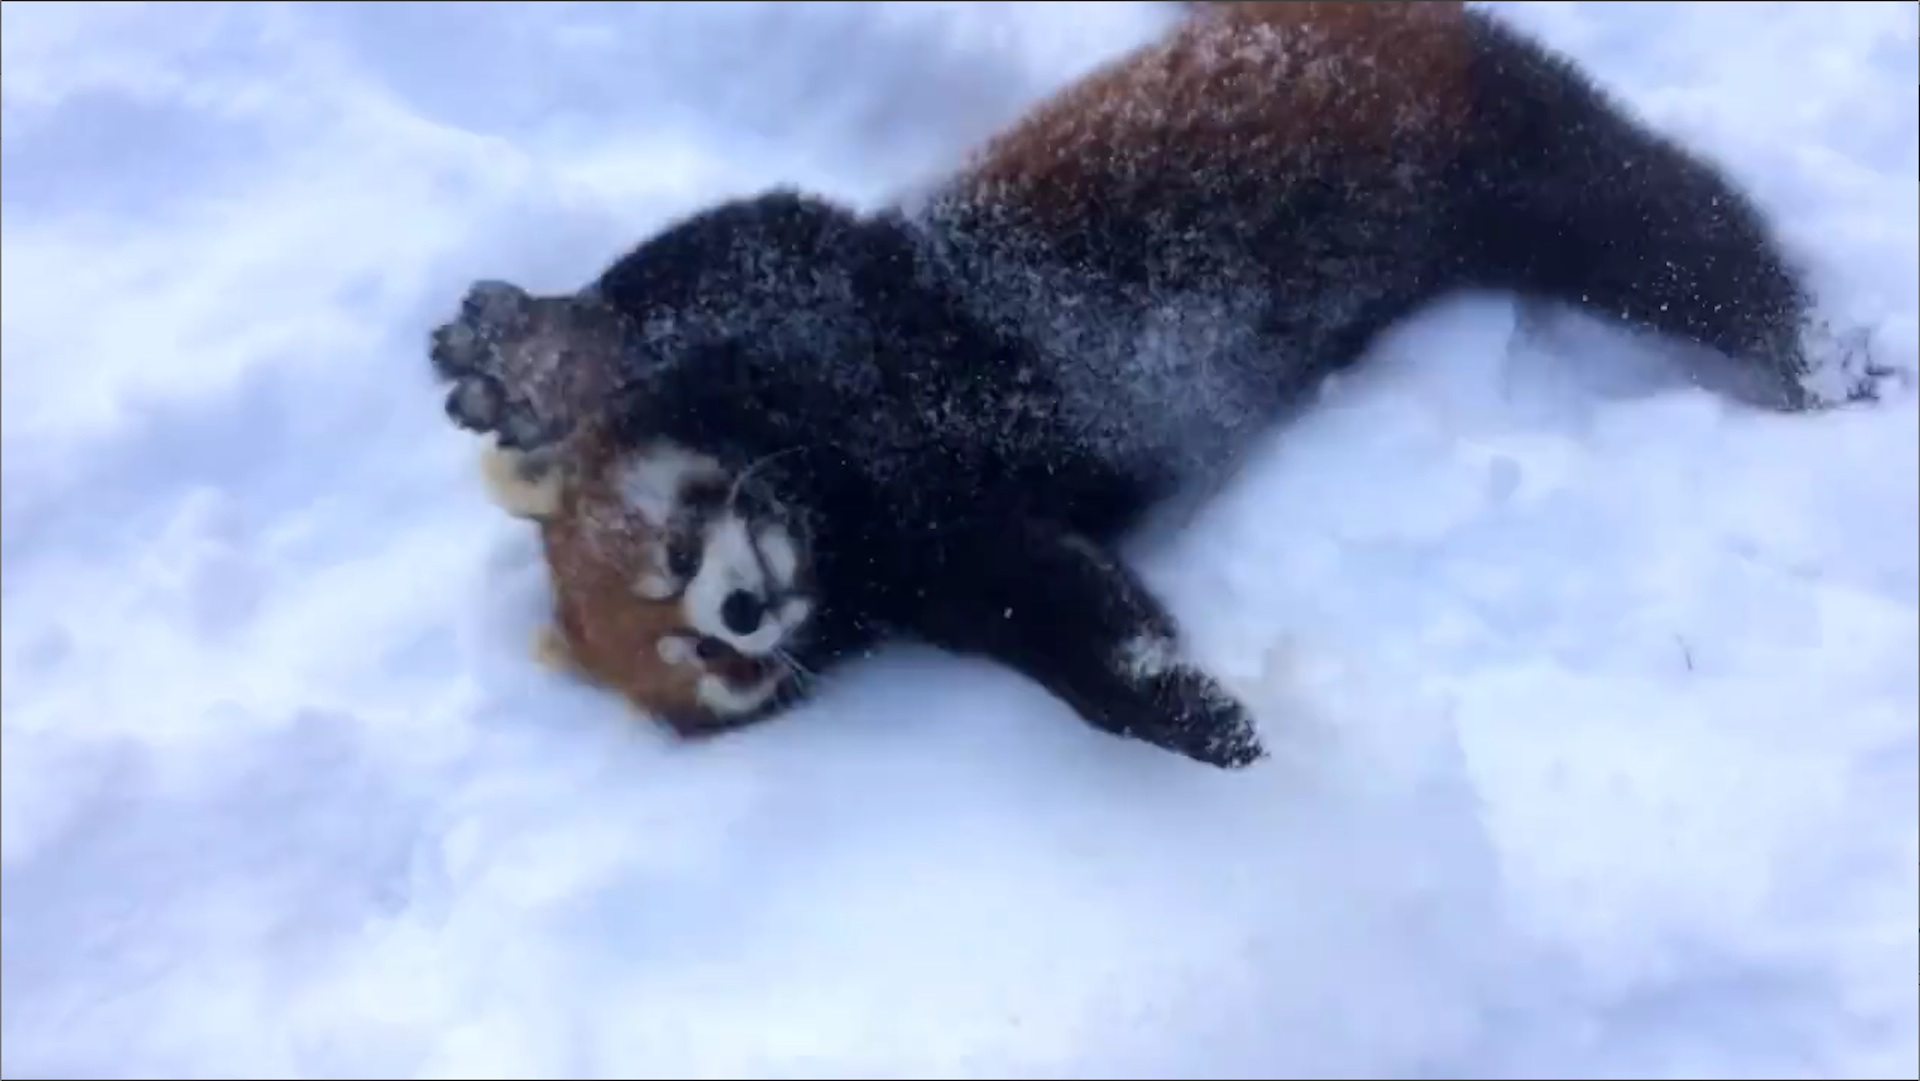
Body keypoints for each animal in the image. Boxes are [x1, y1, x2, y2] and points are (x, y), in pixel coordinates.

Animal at [433, 0, 1887, 769]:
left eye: (684, 555)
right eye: (705, 660)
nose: (746, 611)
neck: (843, 500)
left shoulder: (832, 306)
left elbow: (701, 264)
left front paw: (524, 354)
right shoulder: (948, 562)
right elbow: (1067, 609)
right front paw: (1187, 707)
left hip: (1492, 125)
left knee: (1680, 235)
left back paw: (1820, 359)